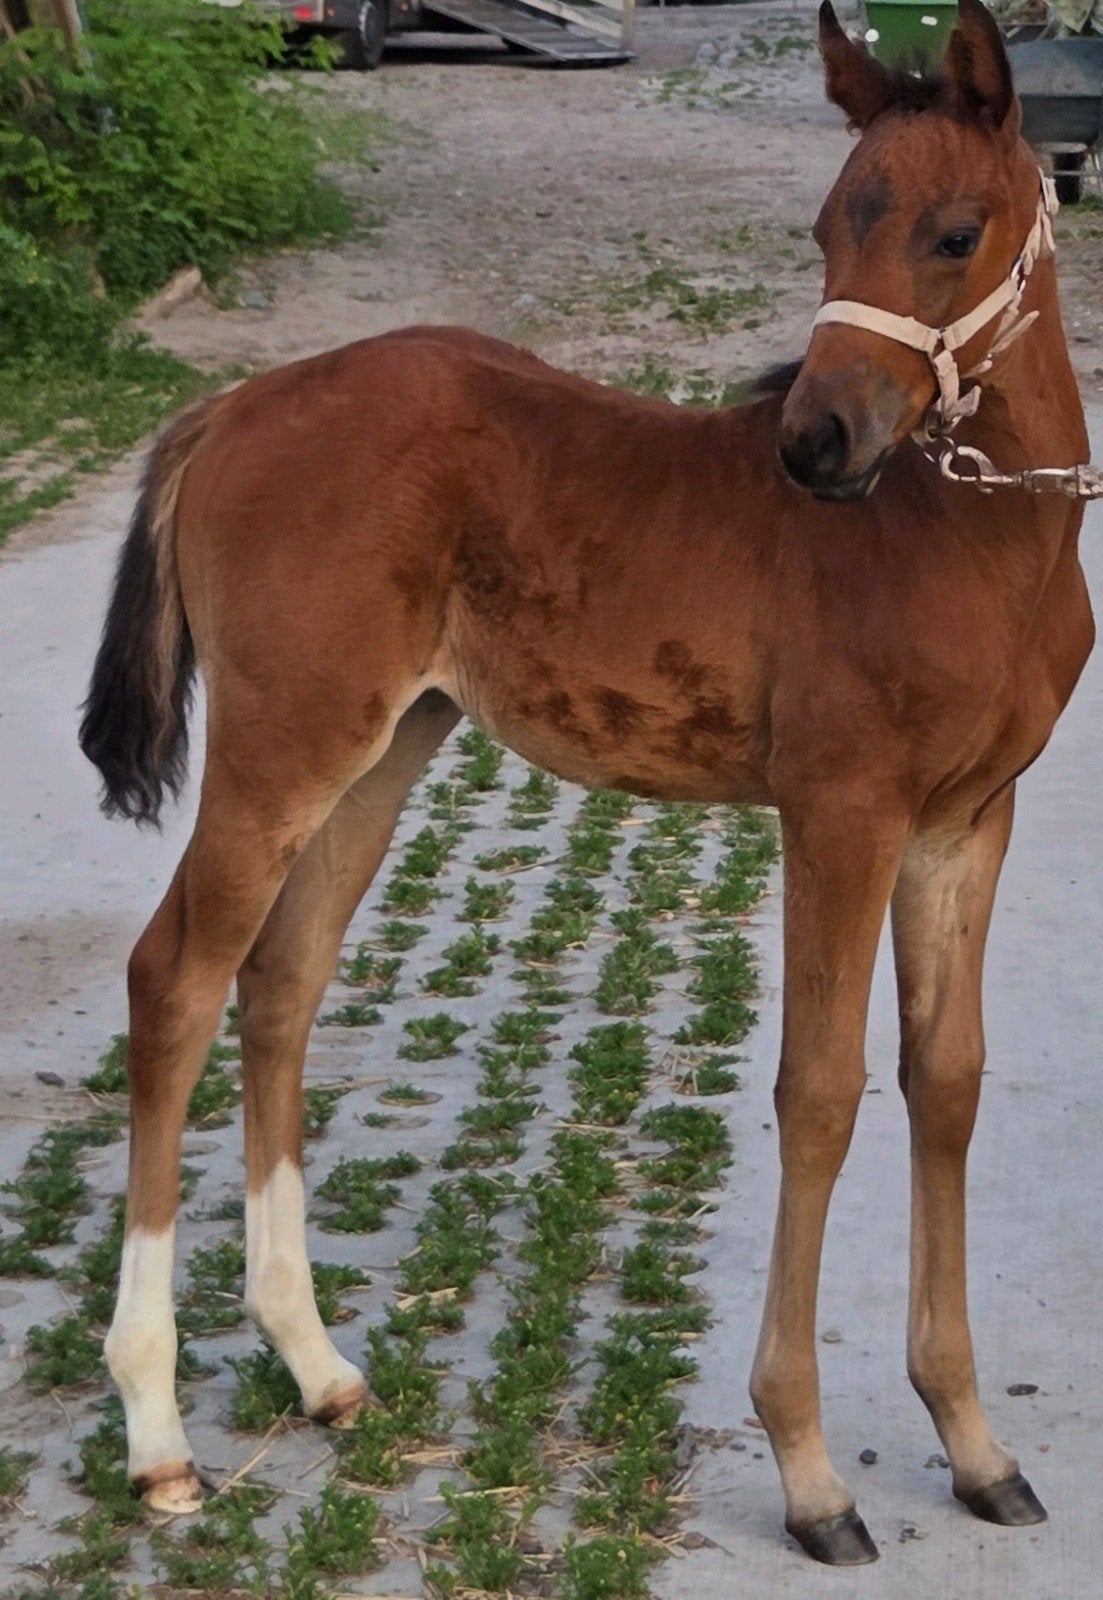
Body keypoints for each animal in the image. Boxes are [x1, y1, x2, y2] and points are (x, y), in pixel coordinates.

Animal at [78, 0, 1094, 1565]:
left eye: (951, 230)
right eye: (822, 228)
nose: (812, 443)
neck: (968, 533)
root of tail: (233, 405)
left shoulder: (967, 822)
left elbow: (946, 1081)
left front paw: (974, 1448)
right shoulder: (840, 813)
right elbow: (818, 1092)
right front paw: (809, 1475)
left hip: (386, 745)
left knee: (281, 982)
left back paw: (317, 1366)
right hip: (278, 744)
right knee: (176, 980)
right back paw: (156, 1434)